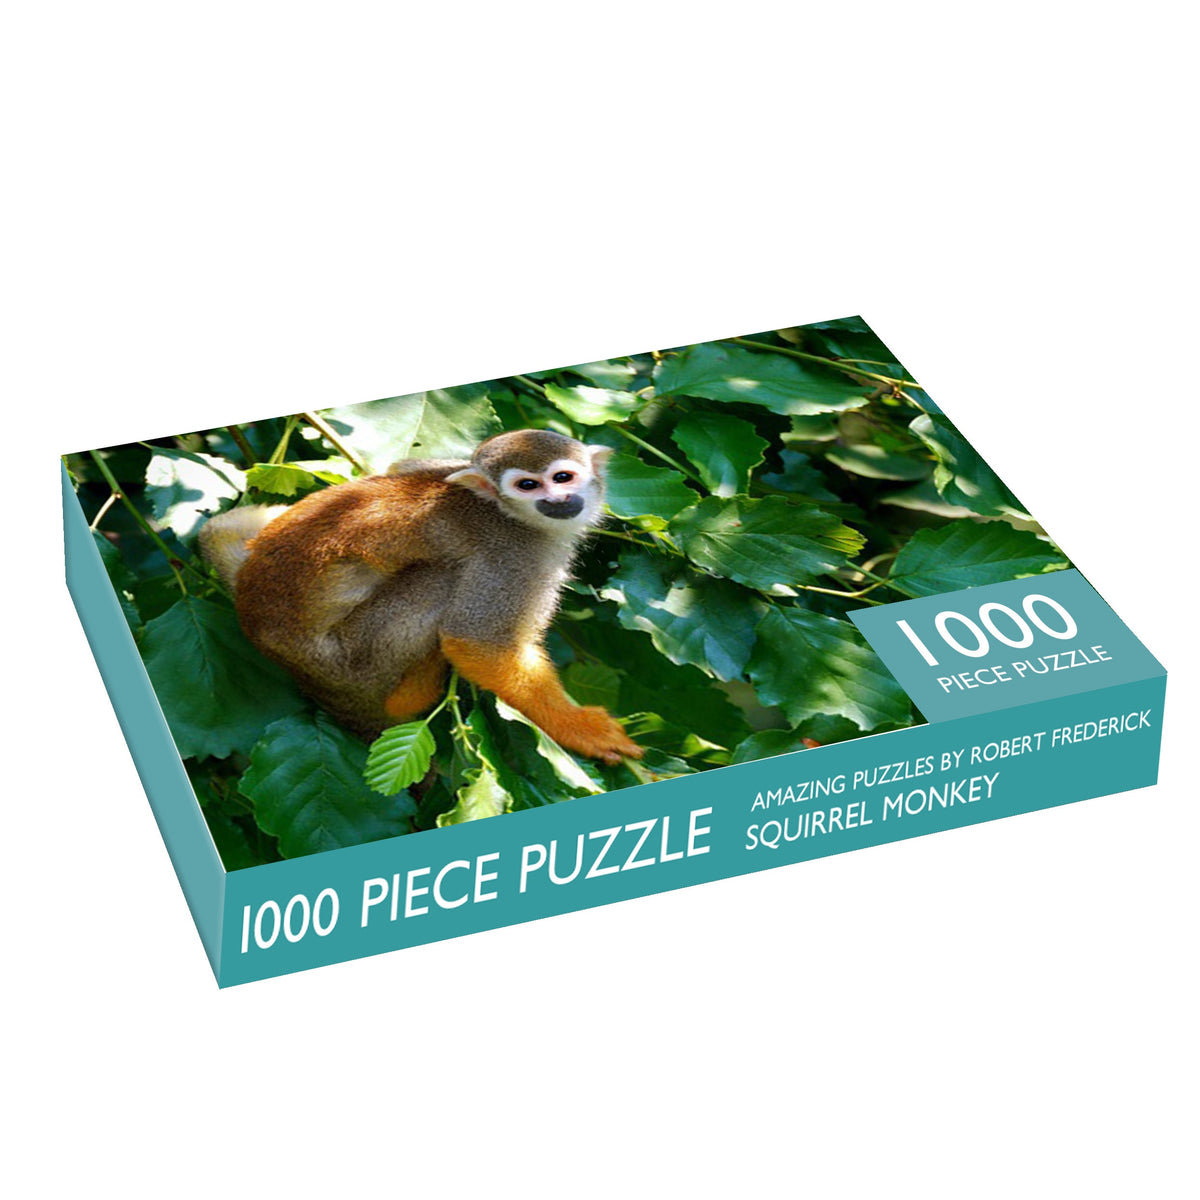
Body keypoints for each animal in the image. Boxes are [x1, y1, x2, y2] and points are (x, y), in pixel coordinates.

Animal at [199, 429, 643, 765]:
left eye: (563, 477)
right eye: (528, 485)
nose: (558, 500)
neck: (505, 512)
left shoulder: (448, 470)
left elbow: (400, 469)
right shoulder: (515, 556)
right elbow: (478, 642)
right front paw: (581, 728)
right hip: (352, 662)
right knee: (441, 579)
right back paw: (415, 692)